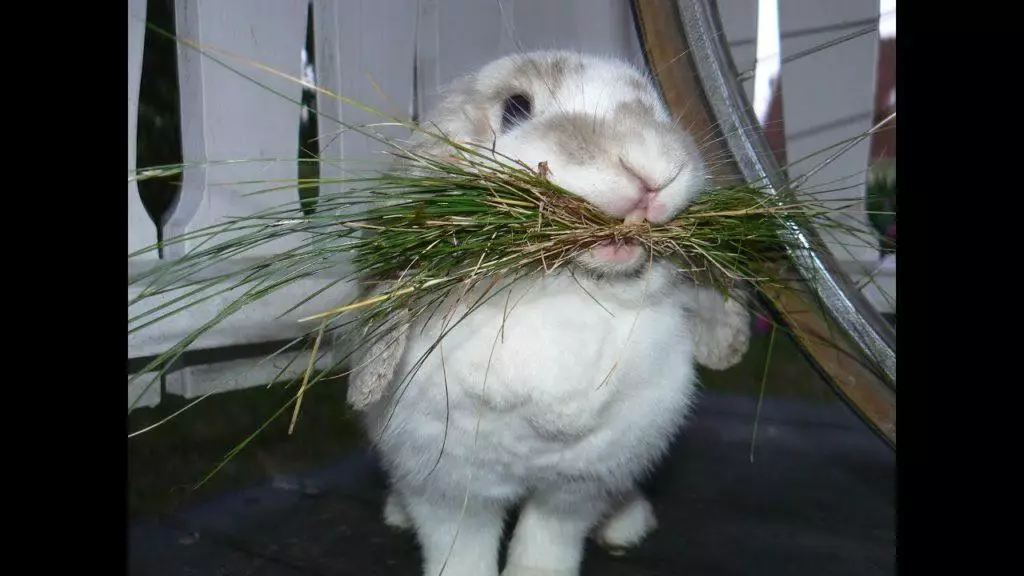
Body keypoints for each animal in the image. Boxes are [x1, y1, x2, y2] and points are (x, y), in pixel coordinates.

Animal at [348, 50, 749, 573]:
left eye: (657, 106)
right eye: (516, 107)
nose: (652, 167)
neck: (562, 292)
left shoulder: (576, 487)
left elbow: (547, 541)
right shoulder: (446, 485)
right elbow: (459, 545)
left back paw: (628, 524)